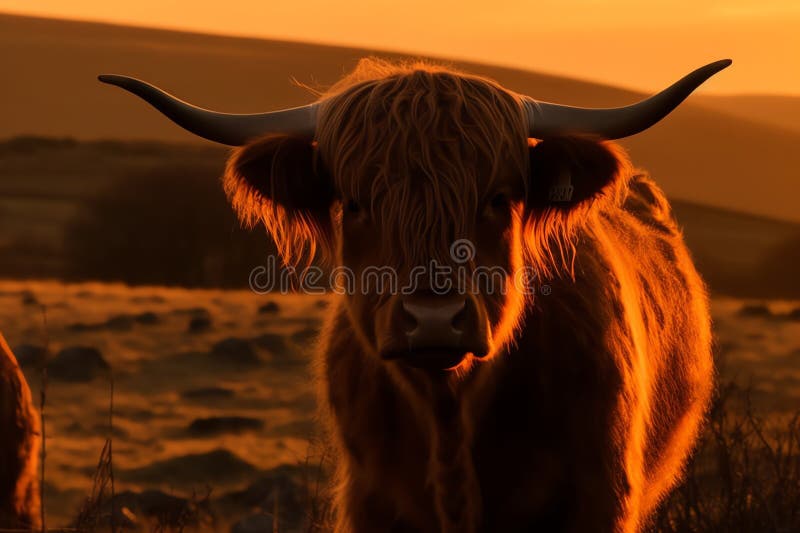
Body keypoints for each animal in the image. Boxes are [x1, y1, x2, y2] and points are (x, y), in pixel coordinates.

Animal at [99, 57, 728, 532]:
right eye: (355, 203)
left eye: (499, 198)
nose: (433, 318)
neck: (449, 417)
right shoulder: (370, 502)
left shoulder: (597, 497)